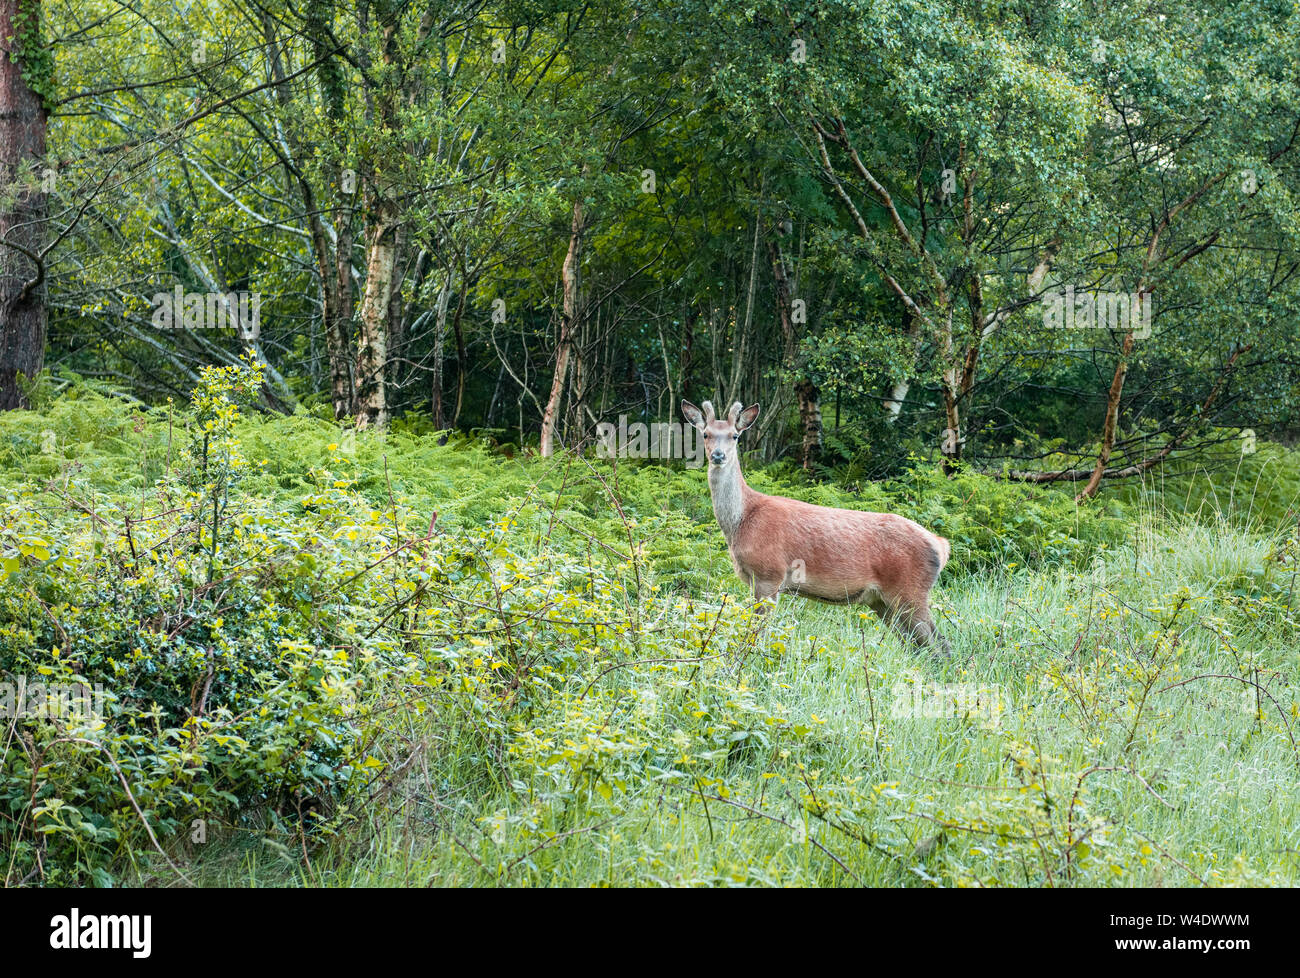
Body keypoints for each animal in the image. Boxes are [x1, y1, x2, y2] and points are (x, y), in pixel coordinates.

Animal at [682, 398, 952, 655]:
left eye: (734, 435)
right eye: (705, 434)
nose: (718, 455)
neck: (741, 522)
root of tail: (941, 545)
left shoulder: (770, 574)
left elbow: (758, 632)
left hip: (910, 590)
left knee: (938, 643)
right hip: (882, 601)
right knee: (916, 644)